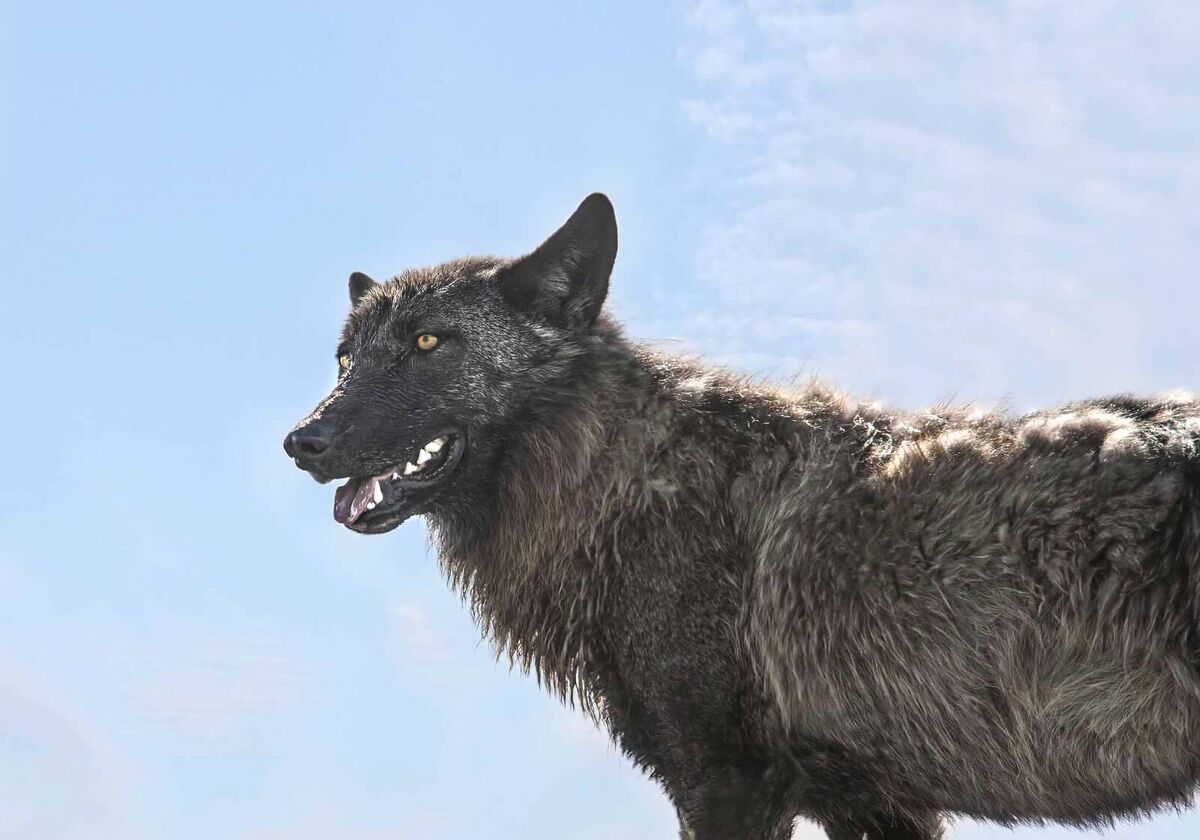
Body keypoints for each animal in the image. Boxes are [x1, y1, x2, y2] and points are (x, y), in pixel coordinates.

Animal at [284, 194, 1200, 839]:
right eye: (345, 358)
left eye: (428, 344)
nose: (303, 442)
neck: (621, 480)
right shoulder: (868, 800)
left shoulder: (728, 782)